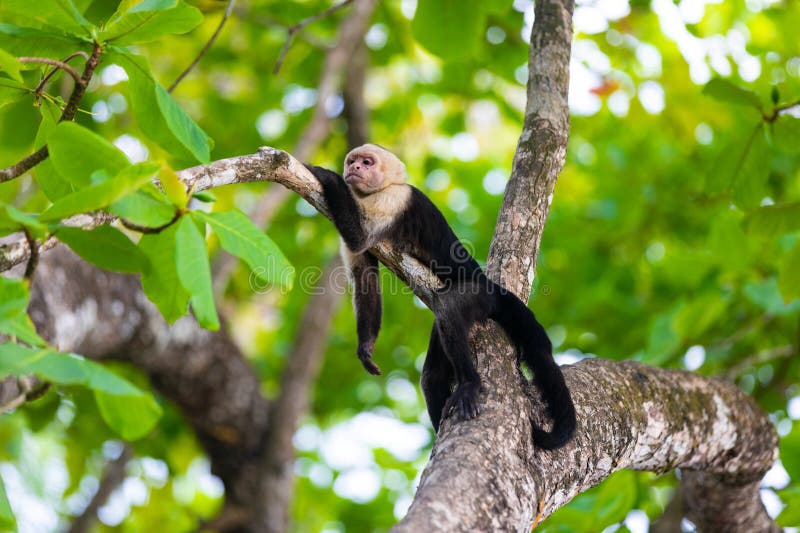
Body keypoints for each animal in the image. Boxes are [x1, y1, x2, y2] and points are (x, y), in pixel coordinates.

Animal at [305, 144, 576, 449]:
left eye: (367, 162)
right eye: (352, 161)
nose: (355, 168)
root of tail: (490, 284)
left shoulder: (395, 198)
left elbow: (360, 236)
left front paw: (325, 175)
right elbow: (365, 277)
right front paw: (366, 346)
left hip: (480, 296)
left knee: (449, 309)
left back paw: (470, 383)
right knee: (432, 375)